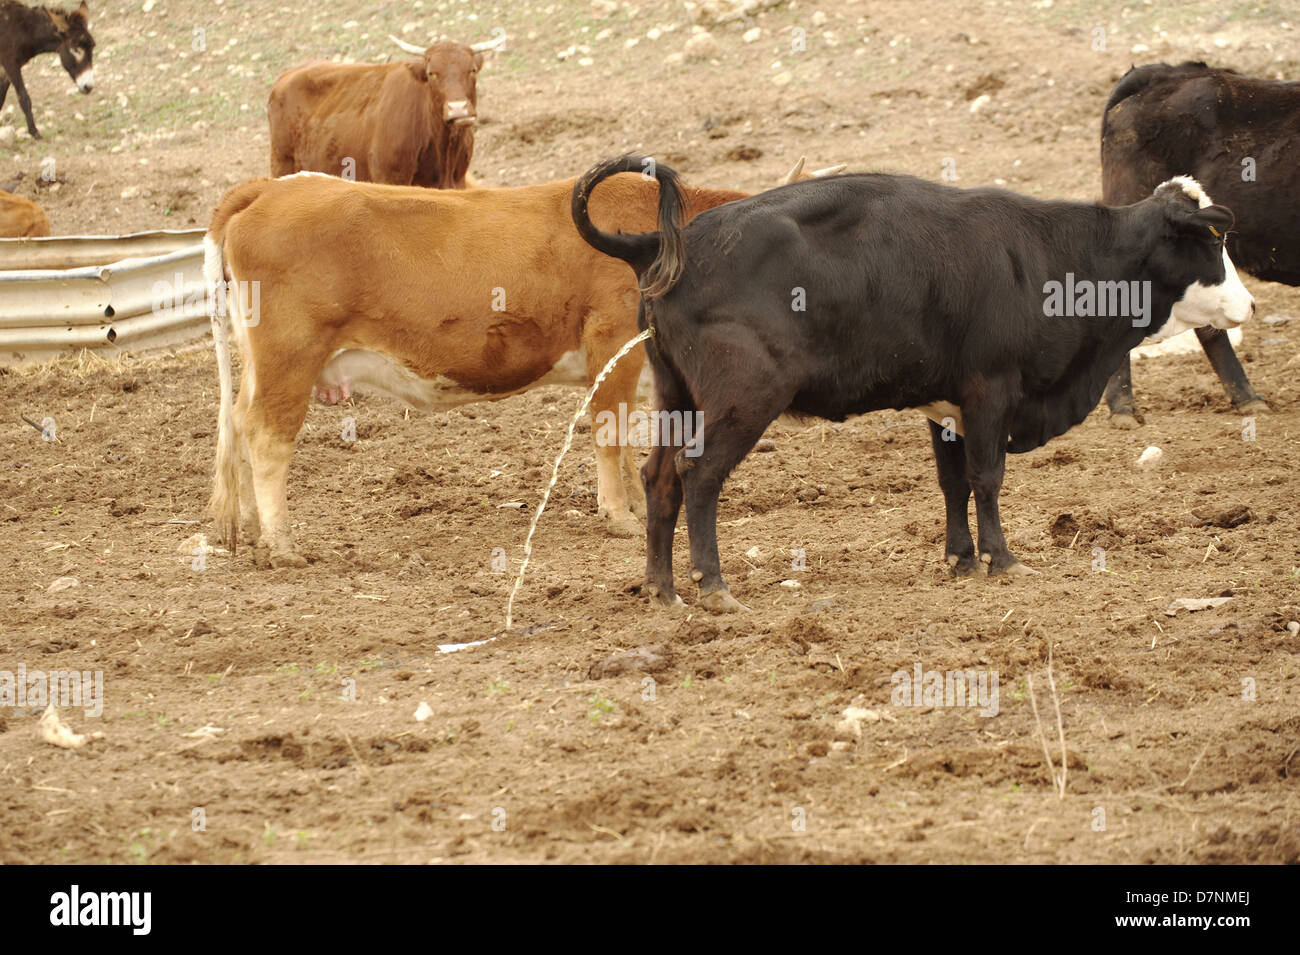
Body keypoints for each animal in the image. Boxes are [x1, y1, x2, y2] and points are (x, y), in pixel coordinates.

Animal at [0, 1, 94, 141]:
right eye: (76, 49)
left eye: (93, 47)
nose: (89, 87)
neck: (23, 29)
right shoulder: (10, 65)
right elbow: (24, 98)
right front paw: (35, 133)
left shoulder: (5, 72)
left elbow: (1, 99)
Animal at [202, 160, 841, 567]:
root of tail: (269, 189)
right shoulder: (612, 339)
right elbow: (609, 430)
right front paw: (620, 516)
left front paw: (635, 505)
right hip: (290, 355)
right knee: (267, 435)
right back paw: (282, 543)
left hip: (262, 361)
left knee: (237, 423)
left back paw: (245, 530)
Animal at [267, 35, 502, 188]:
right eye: (432, 73)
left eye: (472, 70)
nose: (458, 108)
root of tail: (286, 76)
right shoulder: (390, 178)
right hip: (282, 164)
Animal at [571, 155, 1254, 613]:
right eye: (1211, 238)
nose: (1248, 305)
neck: (1049, 256)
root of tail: (667, 242)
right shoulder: (991, 390)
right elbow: (986, 477)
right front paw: (1003, 560)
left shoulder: (946, 405)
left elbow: (953, 482)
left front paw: (961, 559)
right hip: (743, 400)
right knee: (699, 473)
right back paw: (712, 585)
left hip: (677, 397)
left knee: (659, 476)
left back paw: (662, 588)